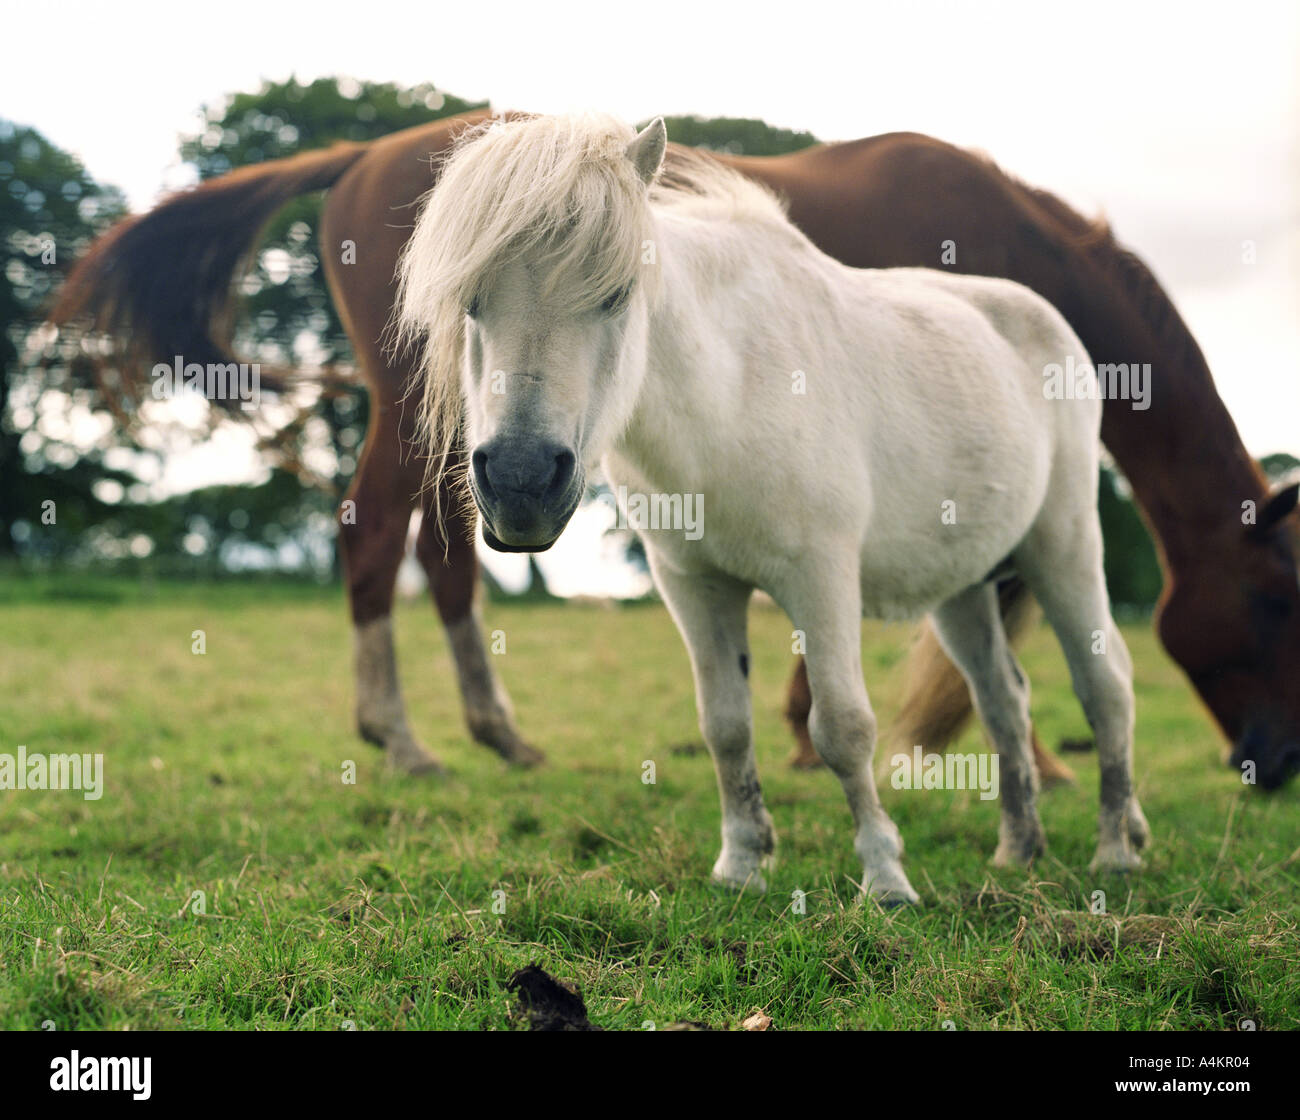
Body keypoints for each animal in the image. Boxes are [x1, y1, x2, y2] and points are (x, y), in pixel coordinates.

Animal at [52, 109, 1300, 789]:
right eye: (1275, 603)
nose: (1276, 764)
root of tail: (364, 151)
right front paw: (1023, 760)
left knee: (447, 558)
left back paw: (498, 733)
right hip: (423, 405)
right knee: (374, 541)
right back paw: (401, 740)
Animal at [393, 111, 1149, 902]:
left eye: (616, 293)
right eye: (471, 301)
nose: (521, 483)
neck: (728, 390)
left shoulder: (821, 578)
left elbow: (843, 726)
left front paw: (885, 878)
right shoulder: (693, 586)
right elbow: (725, 725)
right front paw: (742, 865)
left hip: (1064, 547)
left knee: (1106, 687)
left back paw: (1115, 851)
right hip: (962, 589)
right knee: (1003, 699)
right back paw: (1020, 848)